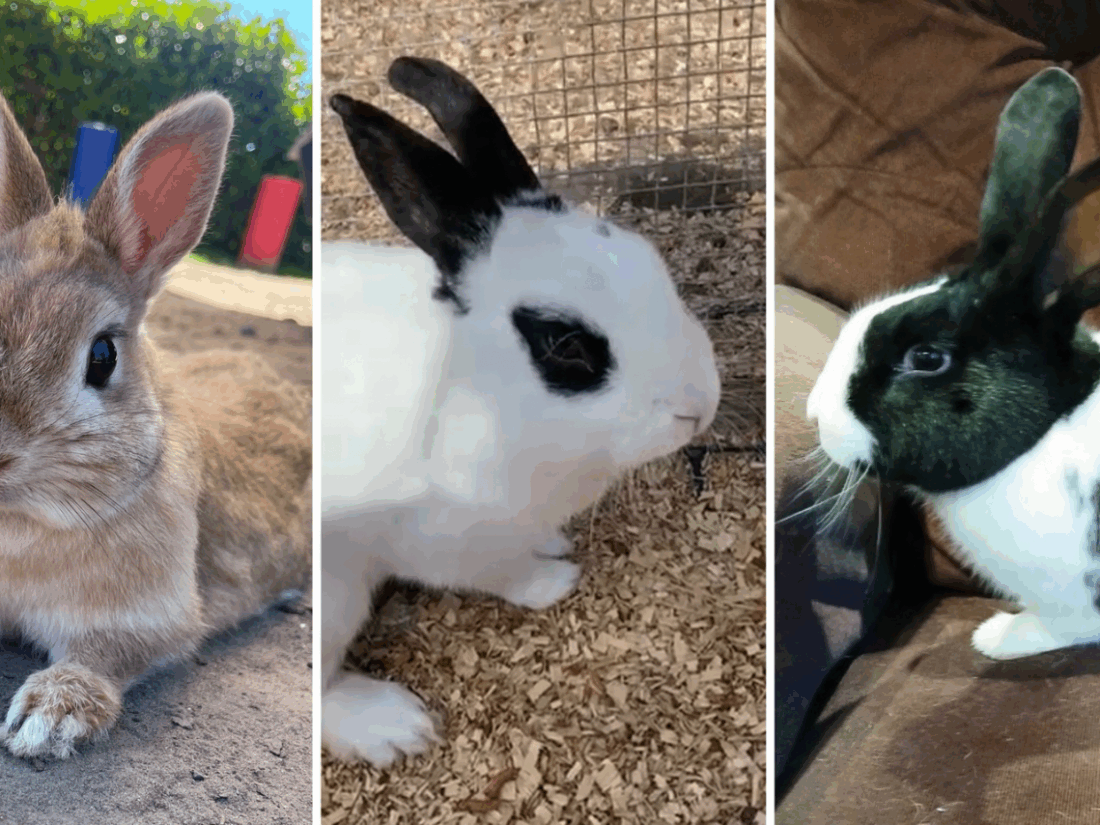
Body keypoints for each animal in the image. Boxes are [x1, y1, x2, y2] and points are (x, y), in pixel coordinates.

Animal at [321, 56, 721, 767]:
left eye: (650, 260)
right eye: (564, 345)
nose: (698, 408)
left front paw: (555, 543)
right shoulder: (449, 543)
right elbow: (504, 575)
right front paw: (556, 580)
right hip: (334, 592)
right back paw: (393, 725)